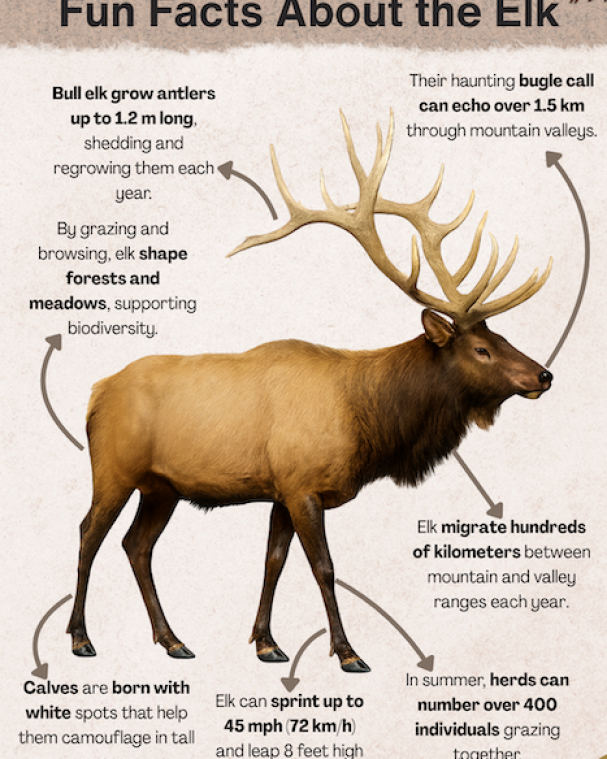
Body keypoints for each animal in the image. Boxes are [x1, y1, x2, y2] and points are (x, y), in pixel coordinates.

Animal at [67, 112, 553, 673]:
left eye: (502, 338)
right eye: (481, 349)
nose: (544, 375)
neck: (371, 421)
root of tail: (95, 393)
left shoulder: (281, 490)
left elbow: (273, 562)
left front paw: (266, 642)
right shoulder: (302, 486)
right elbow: (324, 567)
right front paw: (348, 652)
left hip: (161, 487)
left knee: (136, 545)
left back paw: (172, 639)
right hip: (114, 470)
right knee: (88, 534)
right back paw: (80, 637)